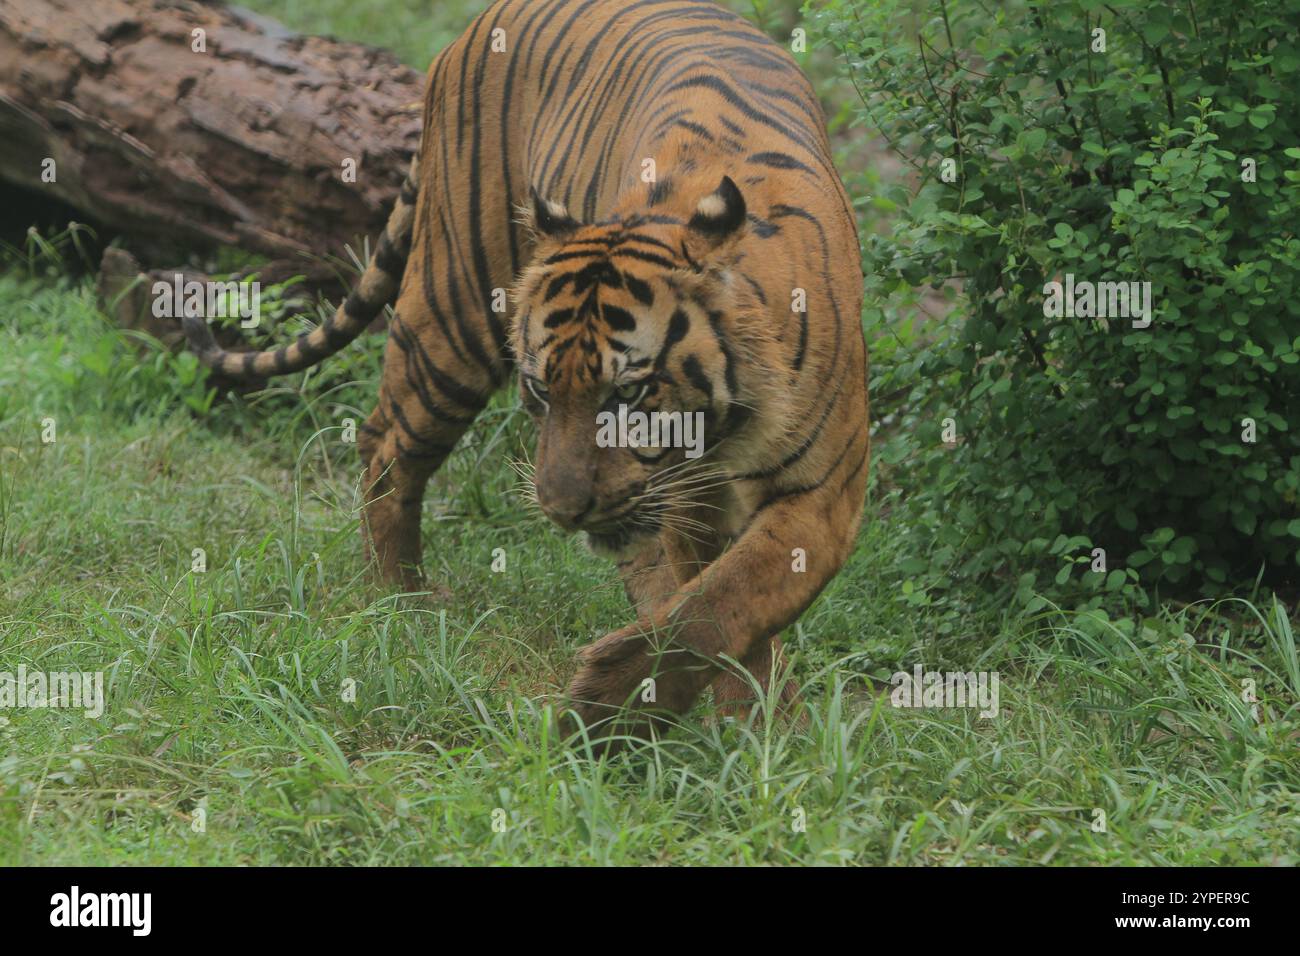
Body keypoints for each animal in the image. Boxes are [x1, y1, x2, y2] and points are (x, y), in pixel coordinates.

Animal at [184, 0, 869, 744]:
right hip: (453, 310)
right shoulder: (690, 498)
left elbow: (727, 602)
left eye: (629, 393)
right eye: (541, 387)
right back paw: (398, 598)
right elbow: (714, 609)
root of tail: (475, 23)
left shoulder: (824, 496)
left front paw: (730, 722)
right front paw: (648, 711)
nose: (563, 511)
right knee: (387, 446)